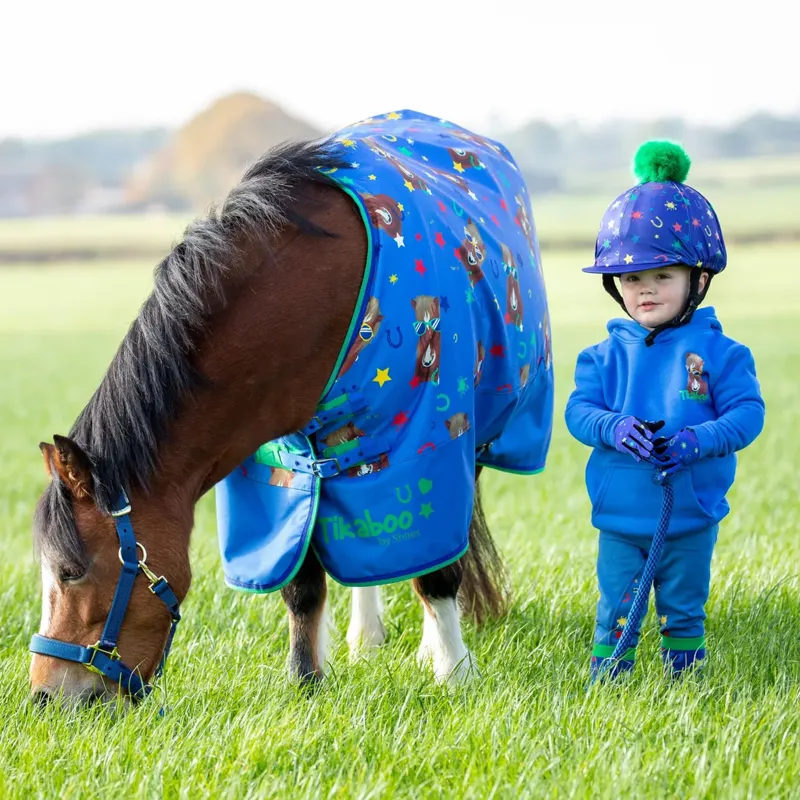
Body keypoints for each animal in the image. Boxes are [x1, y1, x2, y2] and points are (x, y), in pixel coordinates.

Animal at [29, 111, 554, 706]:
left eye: (70, 571)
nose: (43, 695)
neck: (311, 298)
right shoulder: (283, 467)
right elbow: (303, 581)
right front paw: (306, 679)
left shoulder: (427, 446)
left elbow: (435, 570)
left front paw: (453, 672)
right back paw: (366, 635)